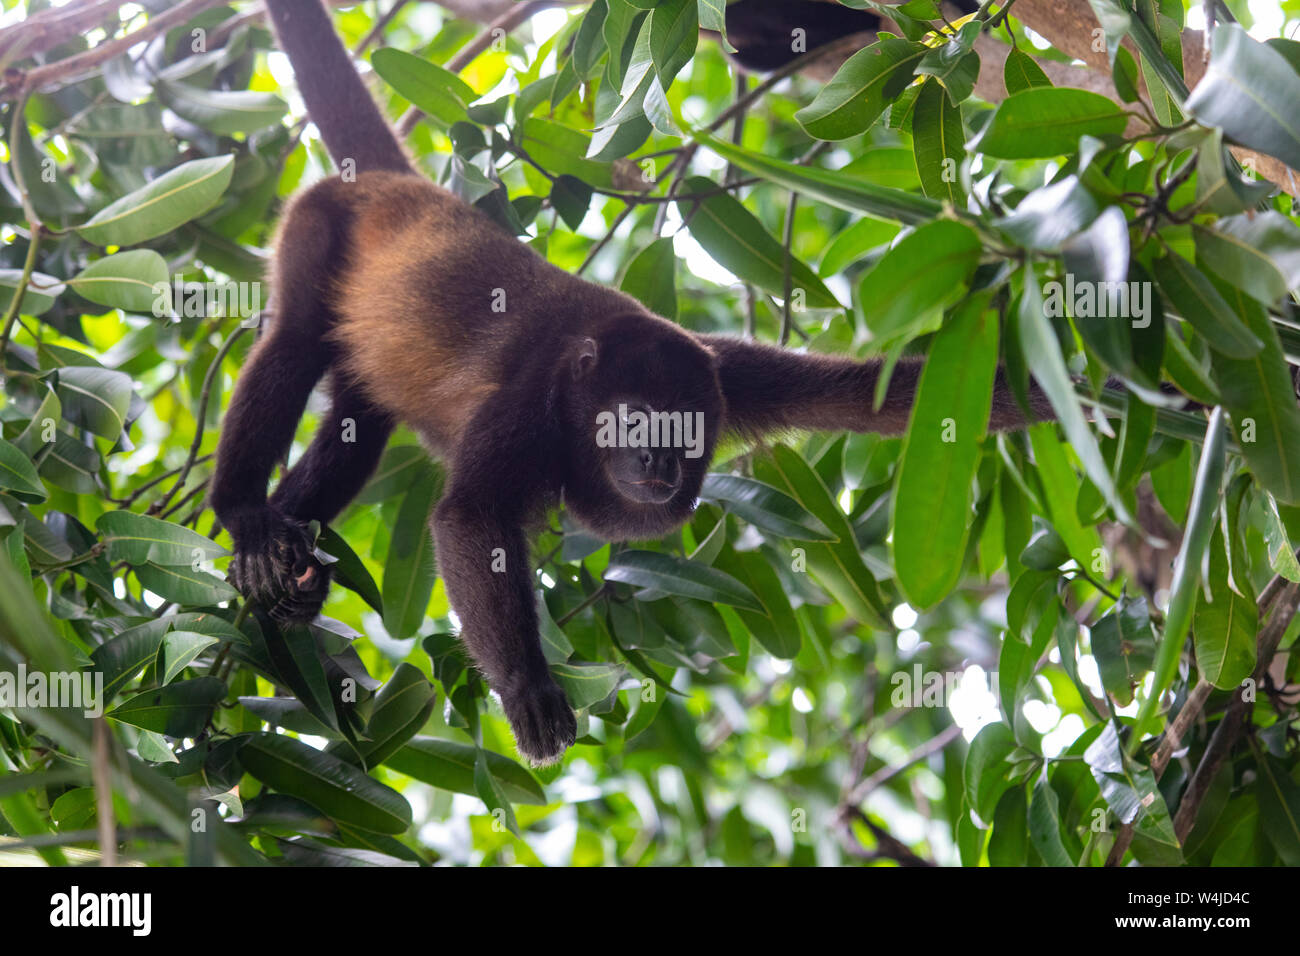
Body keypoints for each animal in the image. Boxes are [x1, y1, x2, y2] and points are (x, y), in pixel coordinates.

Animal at [211, 0, 1051, 767]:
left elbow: (873, 396)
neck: (581, 377)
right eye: (635, 420)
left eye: (682, 428)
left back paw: (290, 570)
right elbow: (469, 515)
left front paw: (1068, 386)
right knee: (293, 343)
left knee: (359, 428)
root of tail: (394, 184)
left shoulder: (725, 374)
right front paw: (527, 687)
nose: (659, 463)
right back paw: (246, 516)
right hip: (318, 220)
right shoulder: (528, 404)